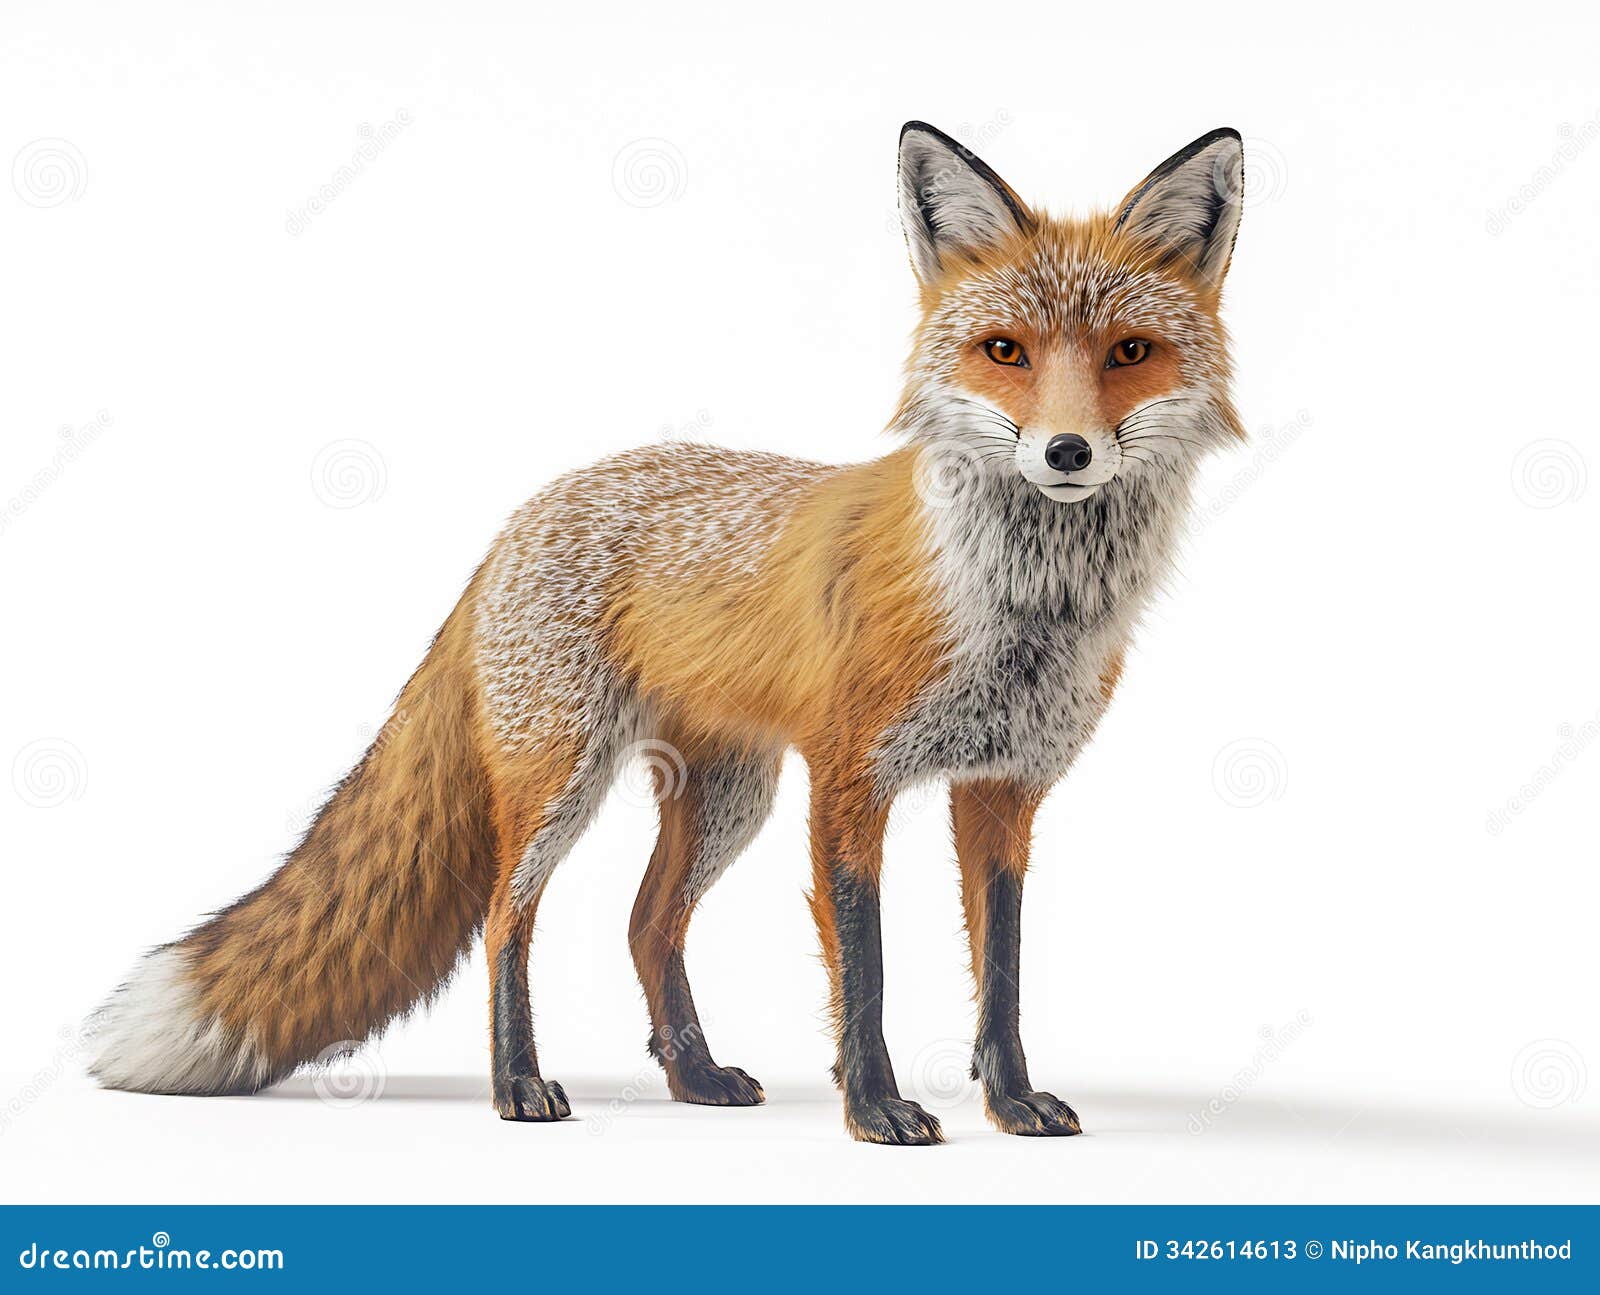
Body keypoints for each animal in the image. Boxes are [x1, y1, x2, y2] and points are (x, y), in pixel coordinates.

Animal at [88, 121, 1247, 1144]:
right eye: (1004, 350)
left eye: (1130, 352)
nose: (1066, 452)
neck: (1014, 607)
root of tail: (523, 516)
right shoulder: (850, 780)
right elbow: (865, 971)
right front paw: (874, 1110)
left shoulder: (1003, 791)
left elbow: (999, 975)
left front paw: (1010, 1104)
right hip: (565, 776)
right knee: (507, 919)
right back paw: (519, 1085)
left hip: (729, 795)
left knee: (647, 921)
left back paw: (694, 1076)